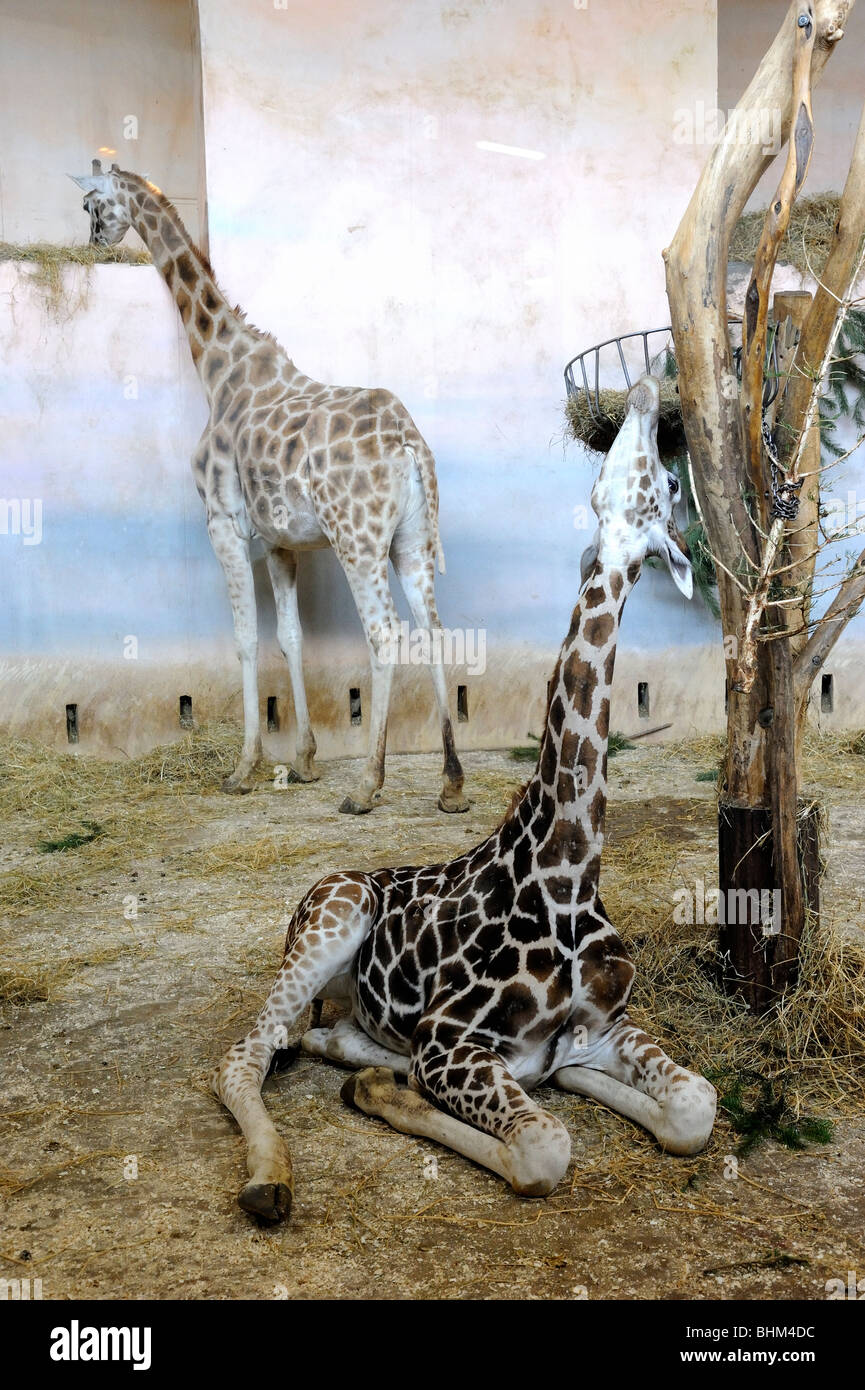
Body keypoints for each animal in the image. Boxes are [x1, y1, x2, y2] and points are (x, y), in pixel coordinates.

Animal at [69, 161, 467, 815]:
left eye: (89, 205)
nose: (95, 242)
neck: (216, 367)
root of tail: (409, 443)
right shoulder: (281, 541)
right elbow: (289, 637)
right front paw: (303, 759)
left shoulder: (223, 524)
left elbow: (245, 639)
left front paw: (244, 766)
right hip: (411, 539)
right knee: (434, 631)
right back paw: (452, 782)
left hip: (359, 542)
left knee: (386, 634)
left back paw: (367, 785)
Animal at [211, 374, 716, 1222]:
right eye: (669, 483)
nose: (647, 392)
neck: (566, 868)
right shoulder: (450, 1040)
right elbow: (544, 1148)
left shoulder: (602, 1024)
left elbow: (694, 1107)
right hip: (333, 919)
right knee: (245, 1055)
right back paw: (268, 1178)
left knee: (317, 1043)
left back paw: (367, 1075)